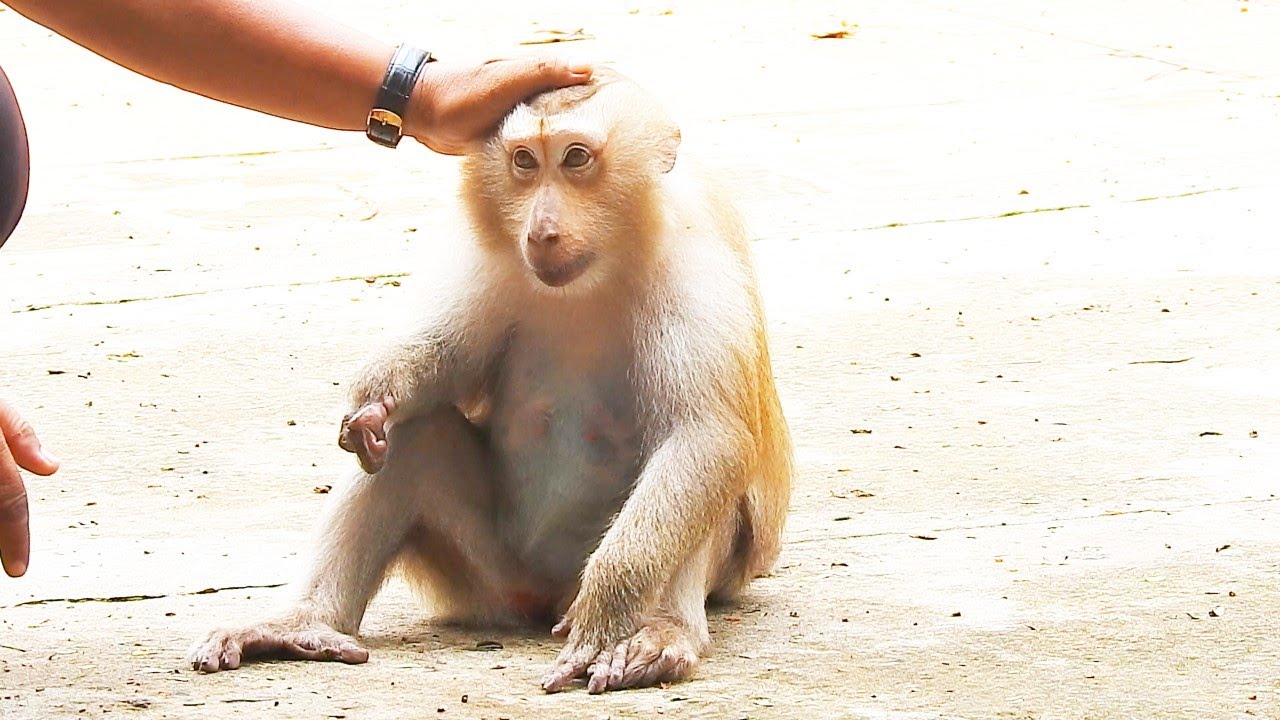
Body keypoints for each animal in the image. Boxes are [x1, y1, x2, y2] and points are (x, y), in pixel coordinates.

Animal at [187, 68, 793, 694]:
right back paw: (301, 622)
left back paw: (658, 634)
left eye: (576, 158)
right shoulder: (498, 260)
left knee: (708, 473)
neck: (598, 269)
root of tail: (546, 596)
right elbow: (442, 366)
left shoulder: (698, 272)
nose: (542, 232)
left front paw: (607, 611)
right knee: (414, 438)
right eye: (525, 161)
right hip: (487, 578)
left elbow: (702, 437)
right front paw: (377, 396)